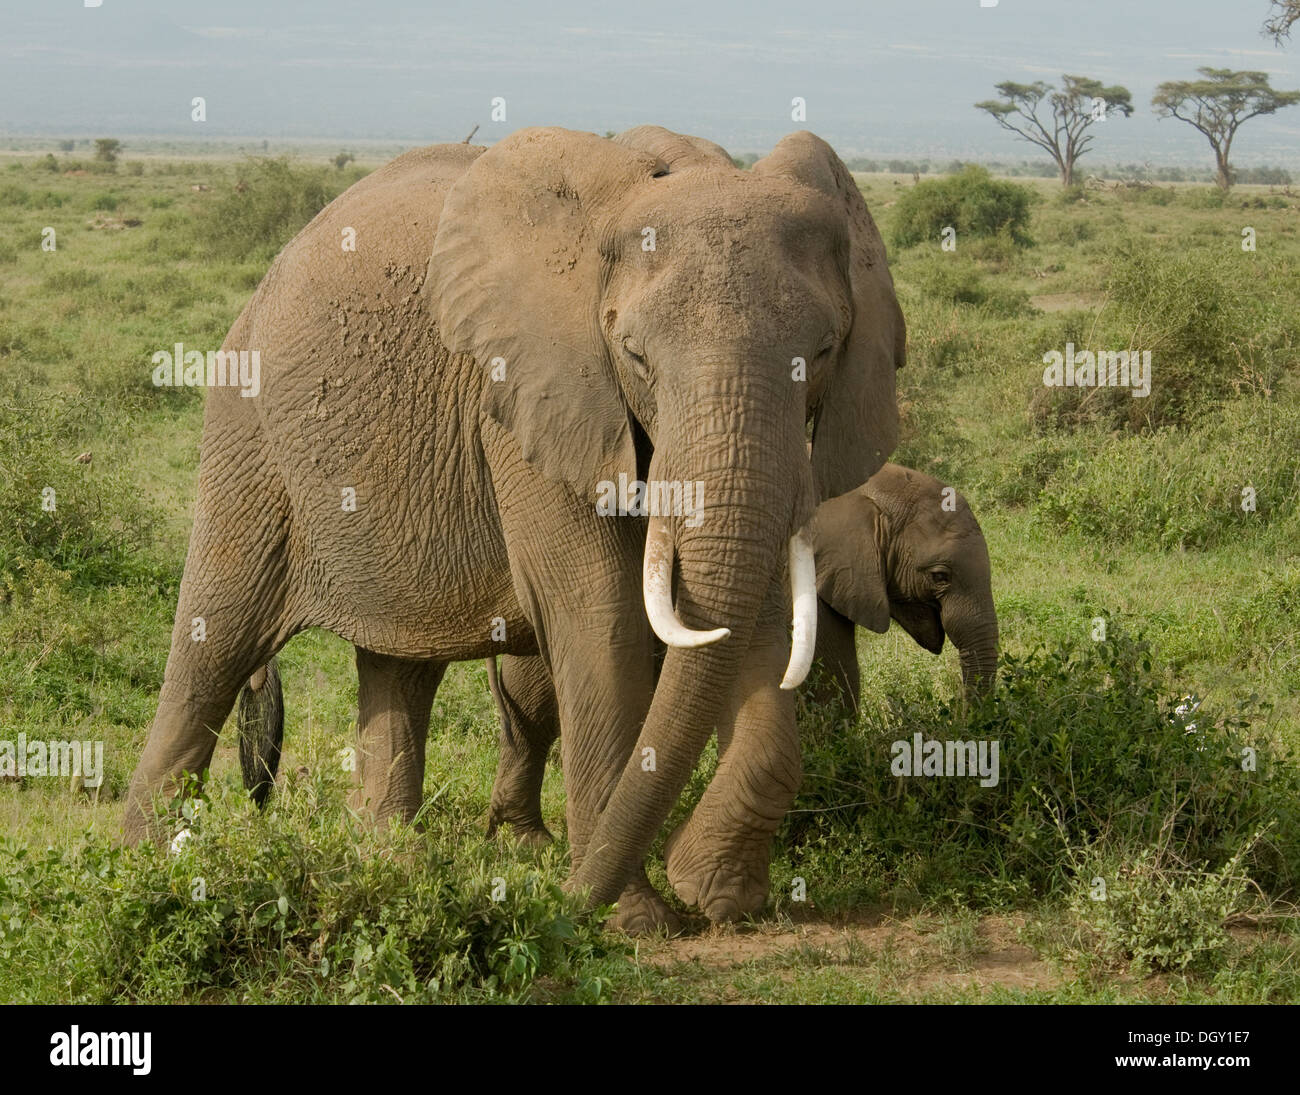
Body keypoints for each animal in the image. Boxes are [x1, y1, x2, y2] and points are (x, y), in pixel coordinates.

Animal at [123, 124, 906, 930]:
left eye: (822, 353)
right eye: (635, 357)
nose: (566, 901)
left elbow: (756, 625)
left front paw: (715, 894)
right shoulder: (531, 401)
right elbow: (602, 618)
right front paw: (637, 918)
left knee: (400, 669)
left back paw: (391, 865)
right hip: (247, 435)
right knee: (214, 645)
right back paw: (147, 868)